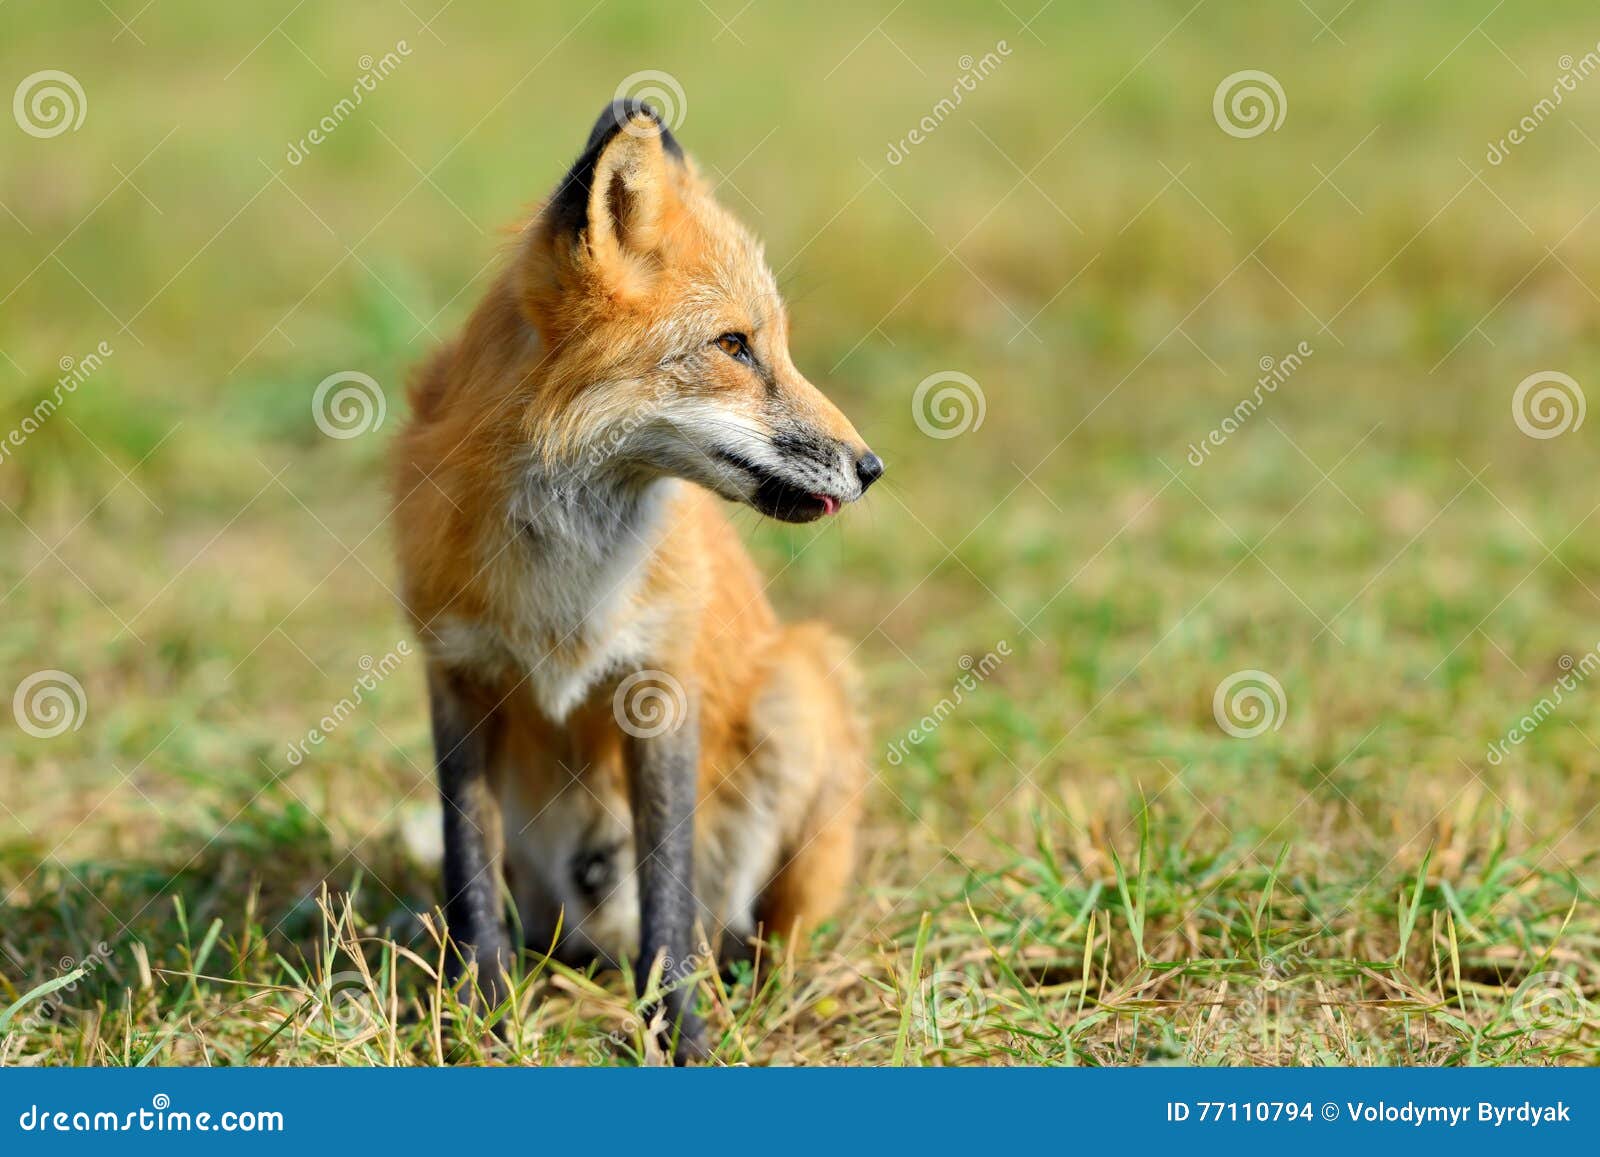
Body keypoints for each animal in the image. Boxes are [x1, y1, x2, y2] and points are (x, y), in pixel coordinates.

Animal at [390, 99, 883, 1063]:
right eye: (733, 345)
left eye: (777, 345)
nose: (872, 467)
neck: (565, 577)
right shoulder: (457, 675)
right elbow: (468, 874)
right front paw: (481, 1013)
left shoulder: (660, 680)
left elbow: (669, 890)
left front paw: (679, 1031)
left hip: (799, 689)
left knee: (756, 926)